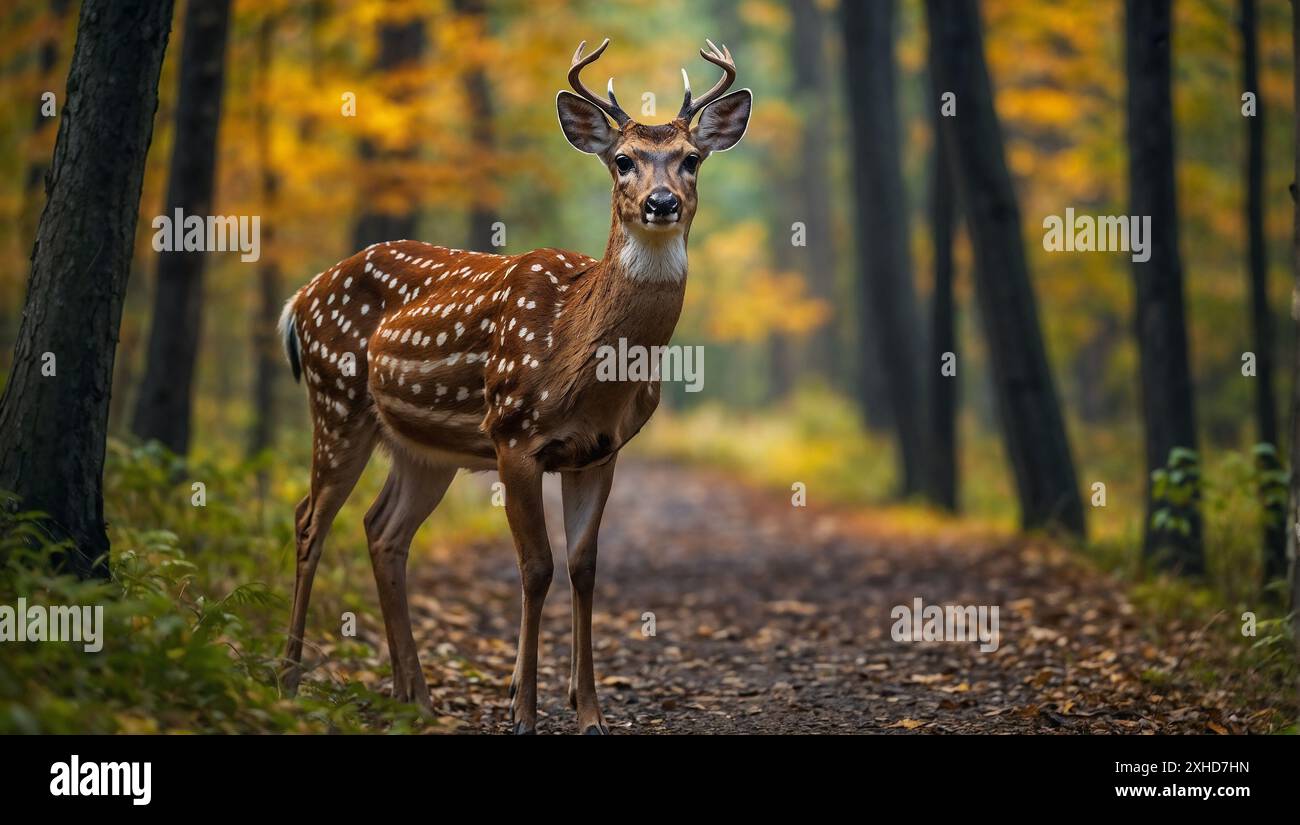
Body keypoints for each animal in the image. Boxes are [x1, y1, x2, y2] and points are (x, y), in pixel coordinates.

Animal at [276, 39, 751, 734]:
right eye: (623, 161)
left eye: (691, 159)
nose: (661, 203)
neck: (583, 357)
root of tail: (300, 298)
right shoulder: (513, 436)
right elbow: (535, 568)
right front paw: (521, 708)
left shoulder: (600, 451)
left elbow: (583, 567)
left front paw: (590, 712)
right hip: (336, 401)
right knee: (310, 520)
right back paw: (288, 680)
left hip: (425, 448)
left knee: (382, 530)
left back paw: (414, 697)